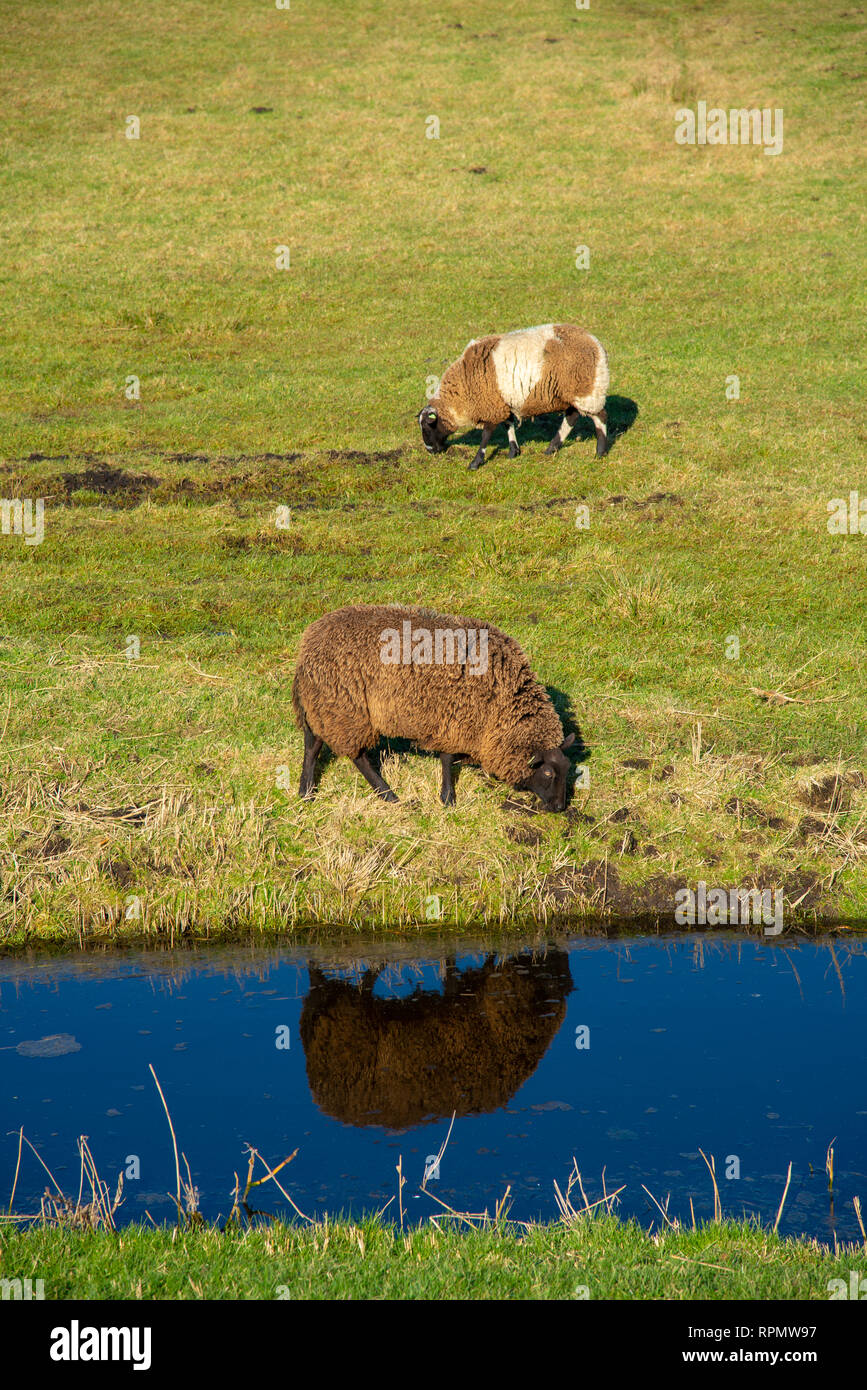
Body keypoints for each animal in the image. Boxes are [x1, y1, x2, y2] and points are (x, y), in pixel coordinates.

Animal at [292, 602, 576, 810]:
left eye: (568, 770)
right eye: (548, 773)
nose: (560, 807)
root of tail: (307, 645)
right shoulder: (454, 720)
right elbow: (447, 759)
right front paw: (448, 798)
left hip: (325, 705)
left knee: (312, 744)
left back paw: (306, 792)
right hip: (346, 708)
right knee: (356, 756)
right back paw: (388, 795)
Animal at [418, 322, 611, 469]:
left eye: (427, 427)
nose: (430, 450)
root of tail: (596, 344)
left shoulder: (491, 406)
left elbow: (486, 435)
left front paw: (476, 462)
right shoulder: (502, 404)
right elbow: (508, 425)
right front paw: (513, 452)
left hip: (587, 391)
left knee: (600, 417)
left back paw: (600, 452)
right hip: (571, 393)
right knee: (572, 417)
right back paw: (551, 448)